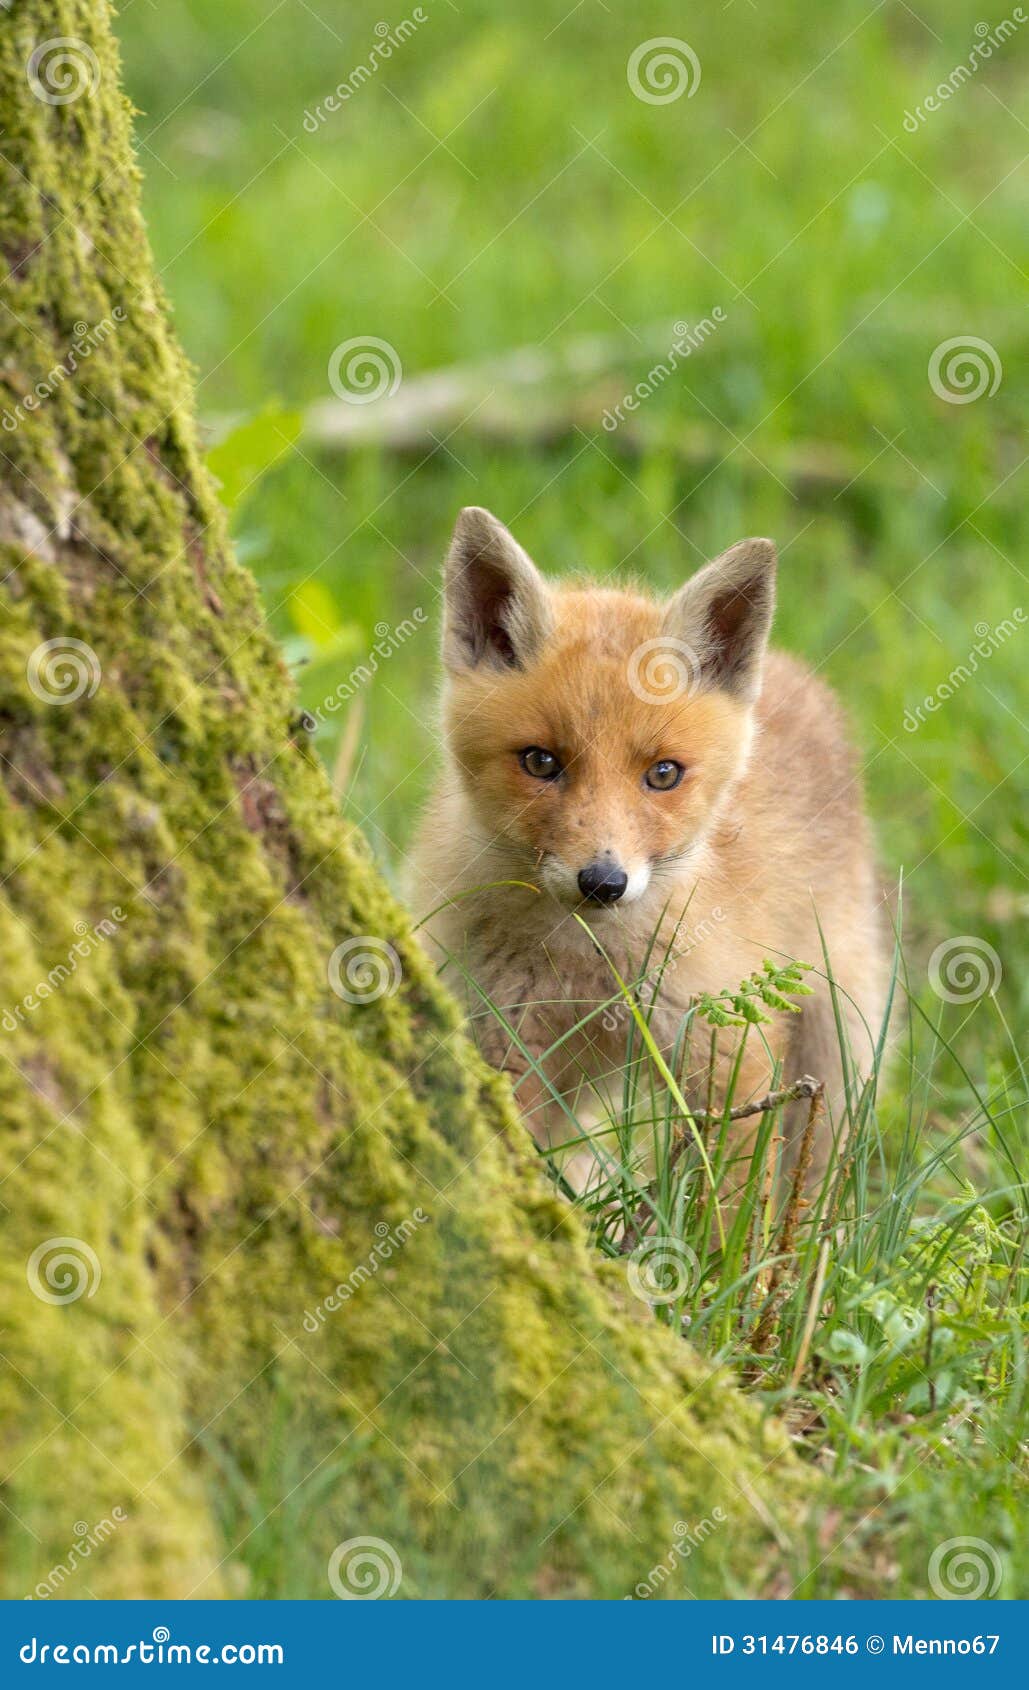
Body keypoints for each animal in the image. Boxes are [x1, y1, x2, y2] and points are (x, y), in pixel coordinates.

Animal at [409, 505, 888, 1194]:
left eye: (663, 774)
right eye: (541, 762)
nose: (603, 882)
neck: (591, 967)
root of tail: (794, 671)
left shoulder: (728, 1048)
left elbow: (731, 1199)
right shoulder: (503, 1039)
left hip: (842, 1041)